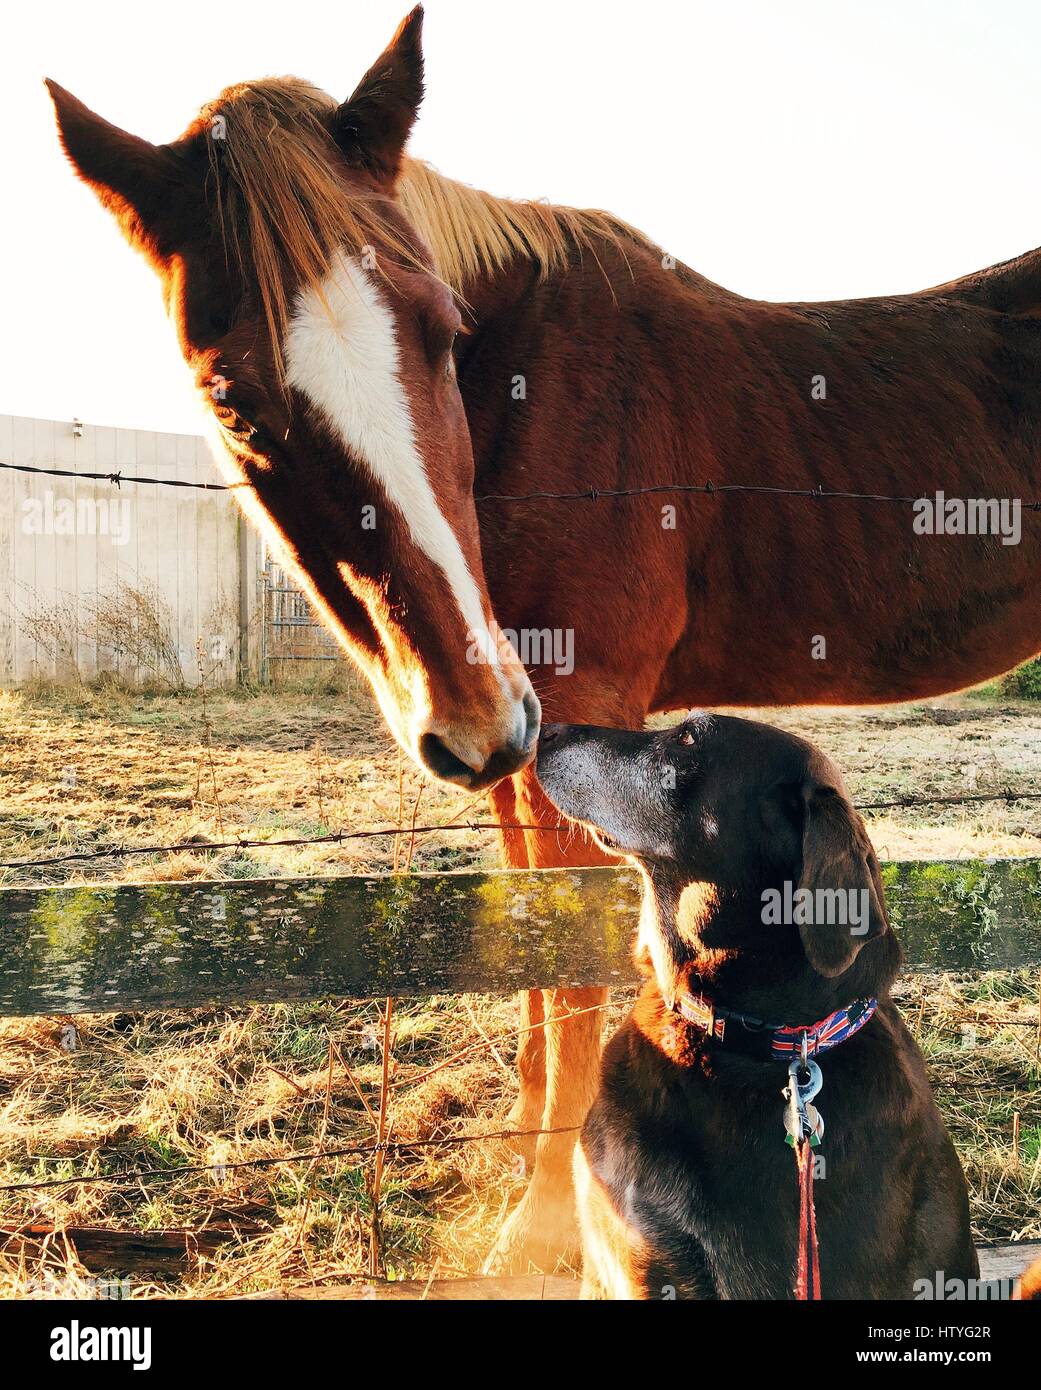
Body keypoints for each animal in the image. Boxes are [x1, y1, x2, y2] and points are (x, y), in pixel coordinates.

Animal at [48, 6, 1041, 1273]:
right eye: (229, 394)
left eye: (441, 329)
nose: (471, 714)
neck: (533, 400)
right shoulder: (522, 731)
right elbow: (527, 950)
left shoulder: (578, 707)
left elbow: (566, 967)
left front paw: (541, 1223)